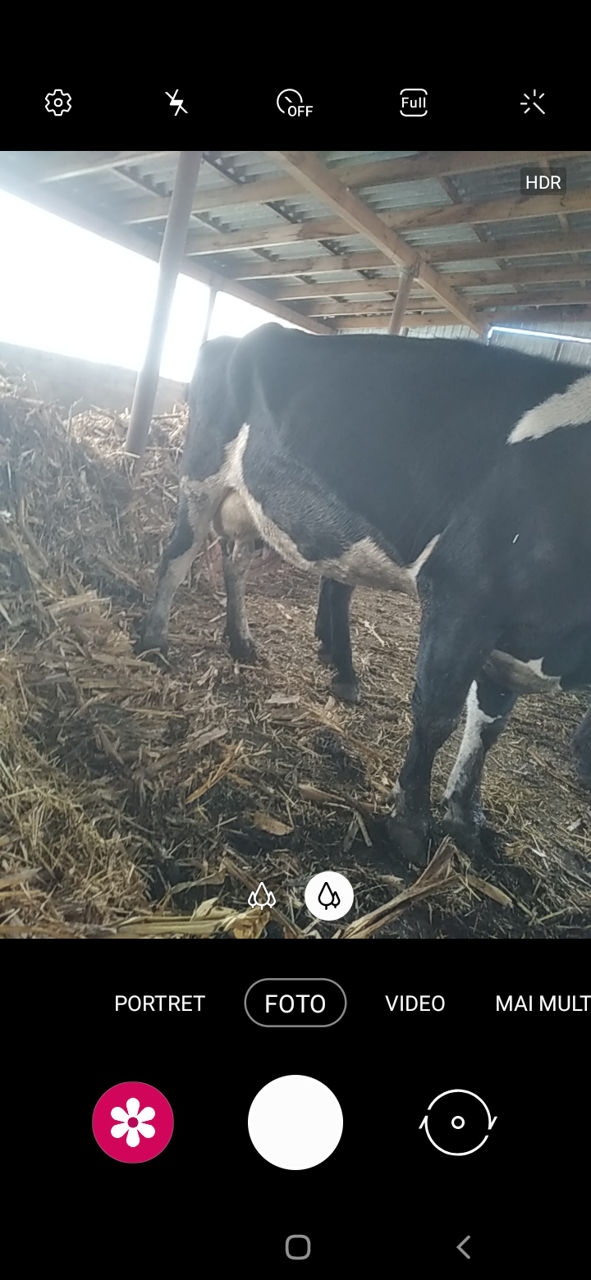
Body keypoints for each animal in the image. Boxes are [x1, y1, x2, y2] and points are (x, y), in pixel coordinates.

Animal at [142, 323, 591, 864]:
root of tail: (237, 336)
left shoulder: (512, 630)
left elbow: (488, 725)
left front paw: (466, 819)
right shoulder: (463, 596)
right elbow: (436, 713)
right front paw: (410, 824)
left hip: (253, 500)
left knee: (236, 561)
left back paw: (242, 642)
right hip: (202, 475)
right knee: (178, 553)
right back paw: (153, 639)